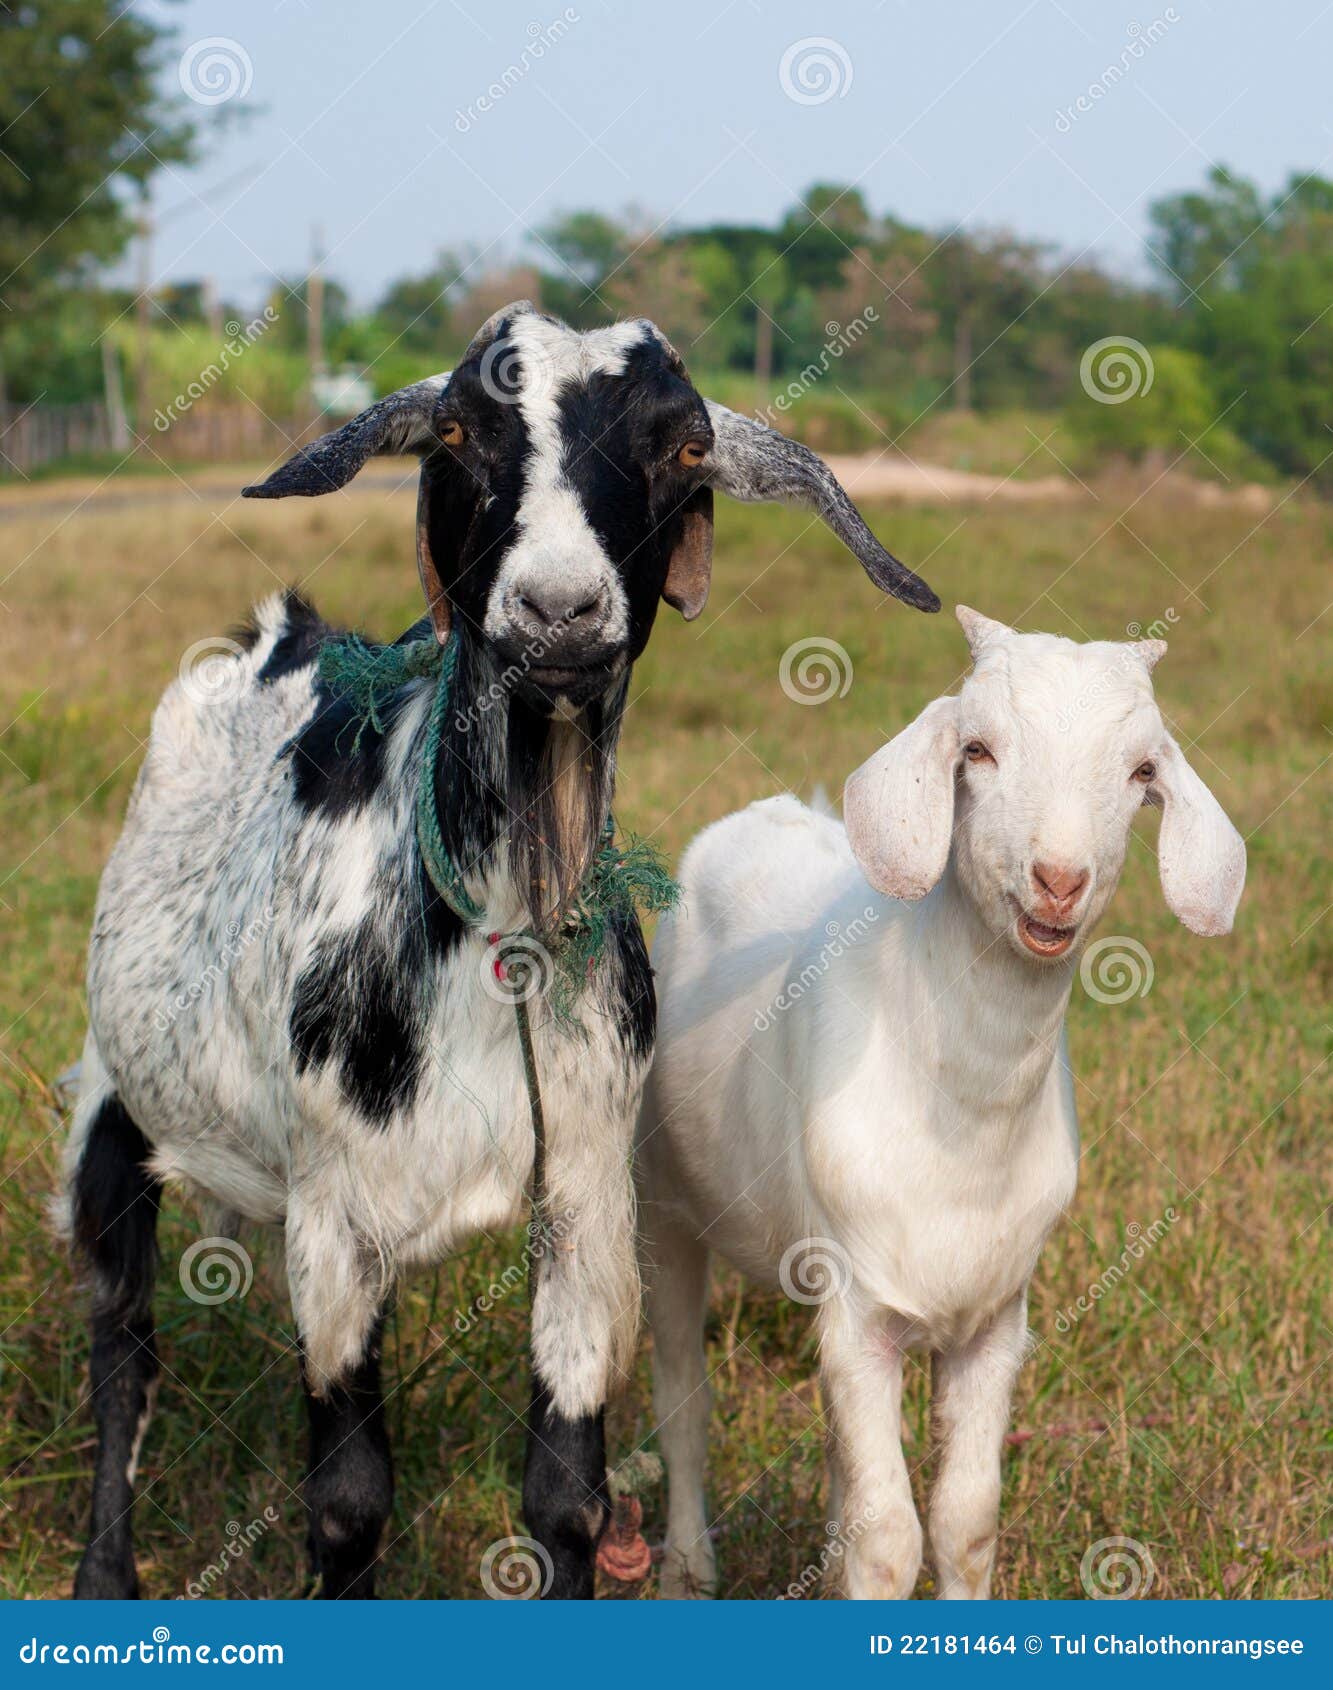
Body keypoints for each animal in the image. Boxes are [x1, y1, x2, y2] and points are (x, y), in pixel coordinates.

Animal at [57, 301, 939, 1600]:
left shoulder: (583, 1202)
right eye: (461, 430)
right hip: (113, 1107)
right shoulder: (334, 1227)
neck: (502, 930)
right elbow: (347, 1502)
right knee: (122, 1349)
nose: (558, 612)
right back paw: (104, 1575)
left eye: (681, 443)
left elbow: (565, 1495)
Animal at [637, 606, 1246, 1599]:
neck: (961, 1122)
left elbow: (962, 1522)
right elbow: (889, 1539)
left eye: (1140, 772)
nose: (1057, 880)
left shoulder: (995, 1321)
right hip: (659, 1199)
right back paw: (687, 1566)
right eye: (977, 750)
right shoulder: (857, 1306)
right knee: (682, 1396)